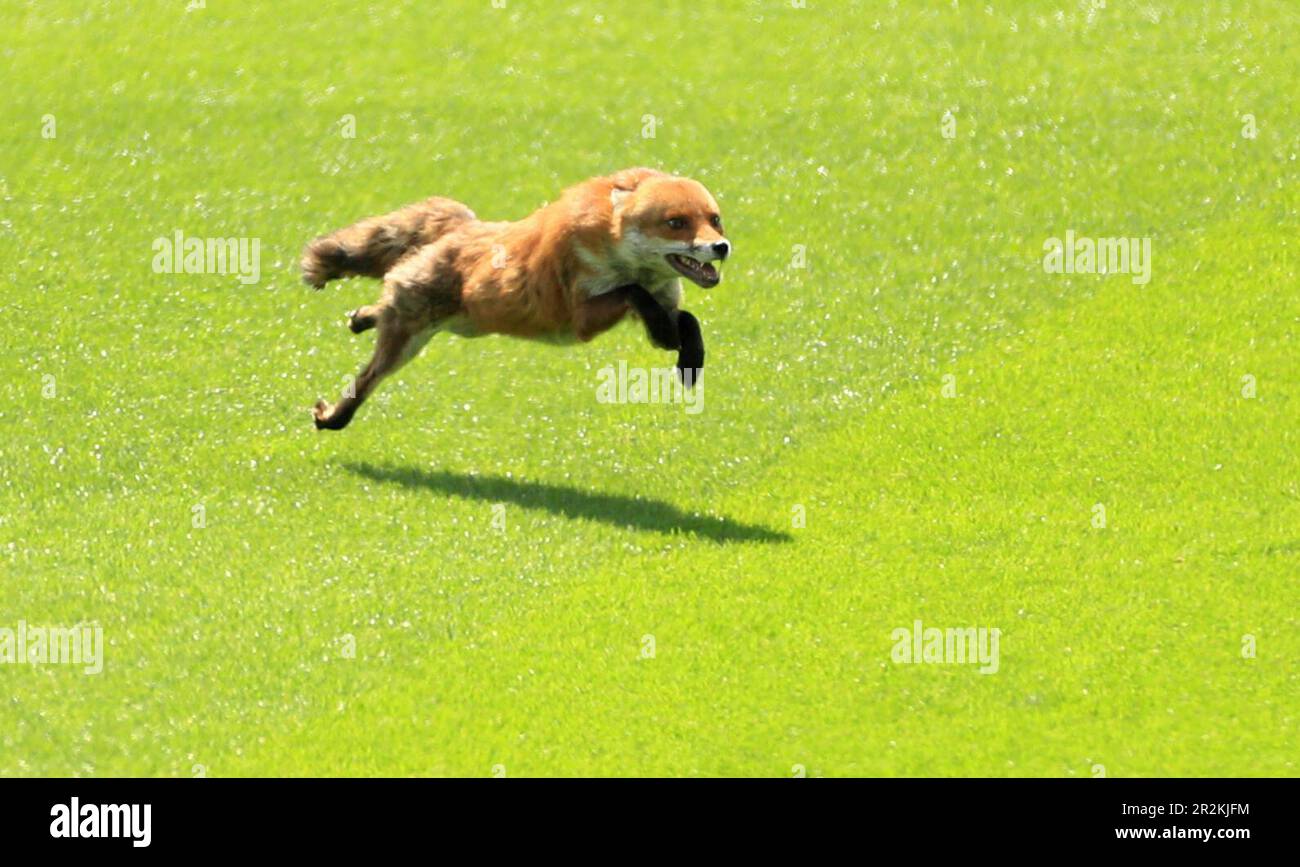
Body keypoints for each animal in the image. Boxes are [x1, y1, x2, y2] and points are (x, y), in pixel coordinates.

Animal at [301, 167, 730, 430]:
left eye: (715, 220)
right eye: (676, 223)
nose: (721, 247)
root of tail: (464, 228)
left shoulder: (662, 305)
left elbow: (687, 320)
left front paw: (690, 361)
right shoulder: (584, 316)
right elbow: (634, 293)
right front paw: (680, 352)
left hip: (462, 324)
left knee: (384, 301)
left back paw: (360, 318)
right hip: (408, 340)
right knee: (365, 379)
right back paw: (332, 417)